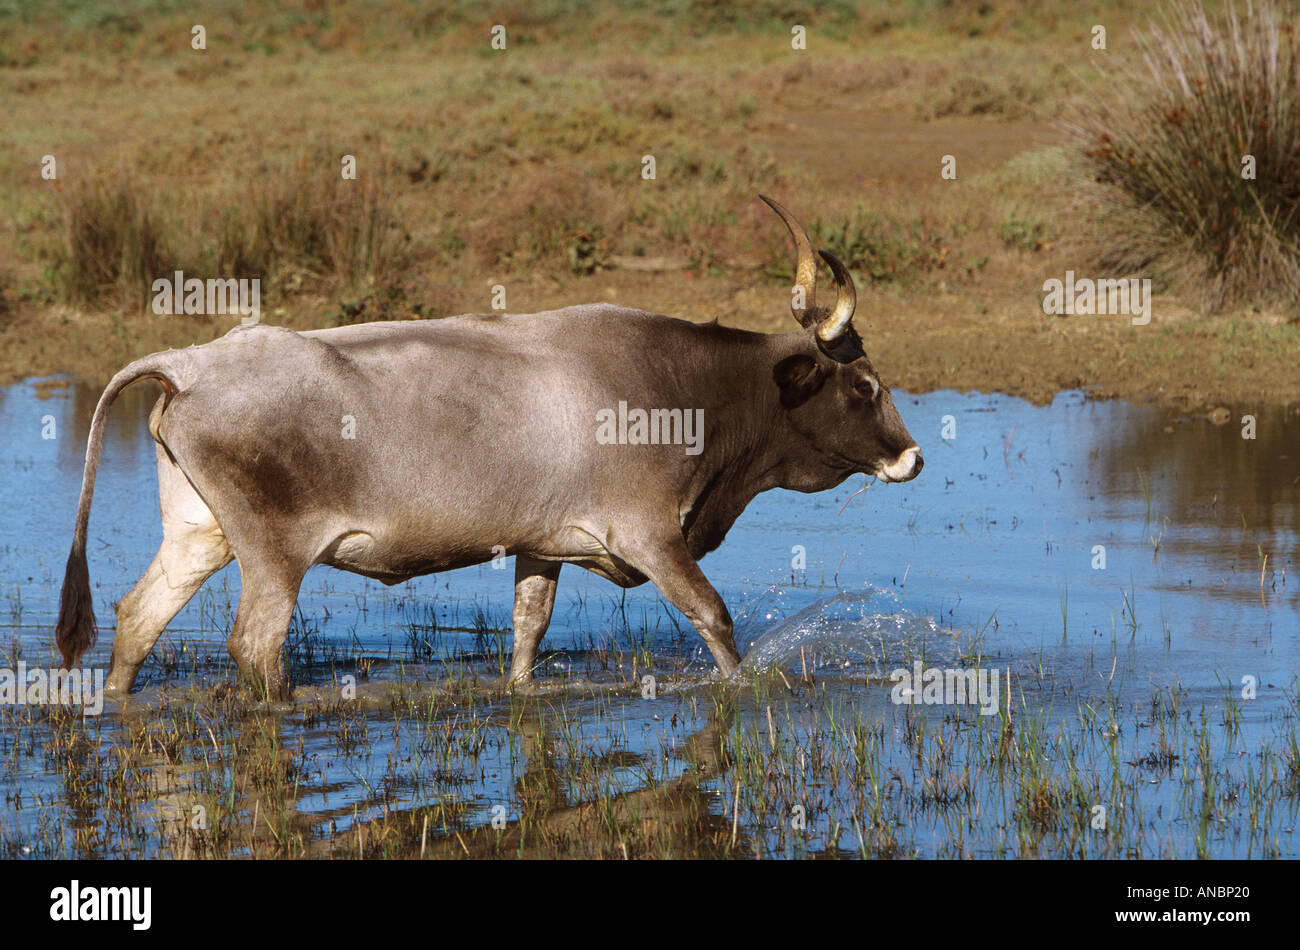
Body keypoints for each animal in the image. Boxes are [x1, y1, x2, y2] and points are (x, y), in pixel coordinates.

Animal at [55, 196, 923, 701]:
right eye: (864, 384)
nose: (913, 458)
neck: (685, 386)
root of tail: (194, 362)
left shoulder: (544, 542)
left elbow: (527, 632)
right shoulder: (650, 532)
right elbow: (714, 617)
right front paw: (743, 695)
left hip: (199, 535)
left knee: (137, 618)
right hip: (274, 552)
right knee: (256, 646)